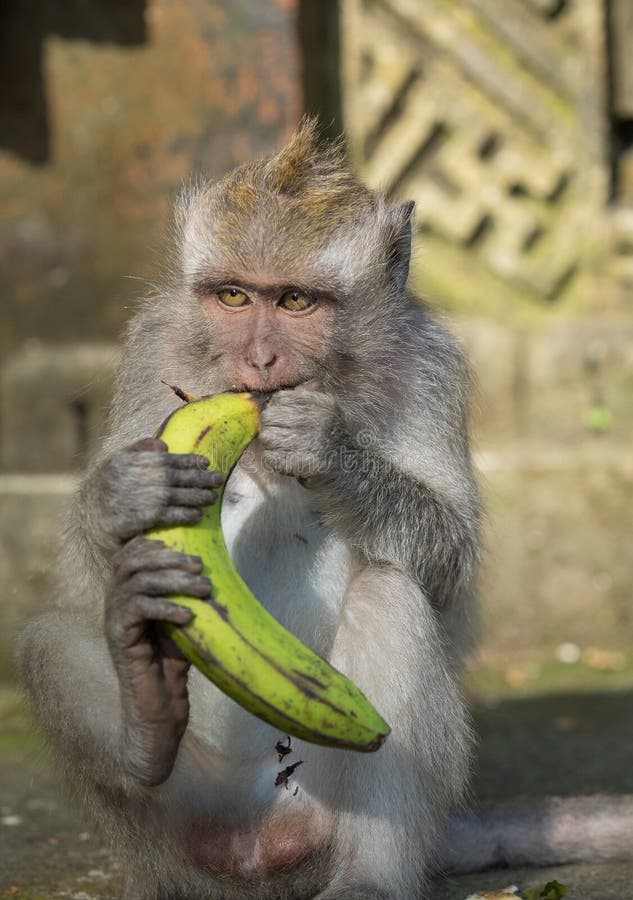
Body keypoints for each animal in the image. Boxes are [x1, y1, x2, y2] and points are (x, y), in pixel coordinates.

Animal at [16, 121, 631, 899]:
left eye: (296, 303)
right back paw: (145, 718)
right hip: (179, 824)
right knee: (52, 640)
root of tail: (254, 850)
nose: (258, 361)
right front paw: (126, 492)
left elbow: (448, 557)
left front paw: (325, 448)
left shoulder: (430, 365)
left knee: (389, 597)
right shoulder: (152, 346)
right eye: (233, 296)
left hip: (322, 799)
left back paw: (370, 877)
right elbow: (82, 575)